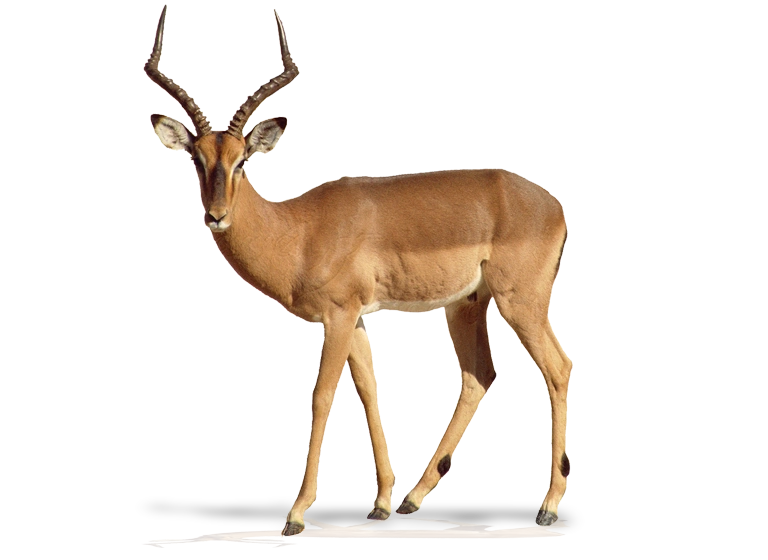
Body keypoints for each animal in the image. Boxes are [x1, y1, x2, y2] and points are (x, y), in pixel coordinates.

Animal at [144, 6, 572, 536]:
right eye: (196, 157)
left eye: (242, 160)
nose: (215, 215)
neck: (297, 231)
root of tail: (553, 204)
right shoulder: (358, 320)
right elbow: (369, 392)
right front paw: (381, 503)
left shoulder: (338, 317)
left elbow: (323, 395)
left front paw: (296, 514)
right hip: (464, 306)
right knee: (479, 375)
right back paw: (413, 500)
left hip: (521, 303)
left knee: (557, 368)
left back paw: (548, 506)